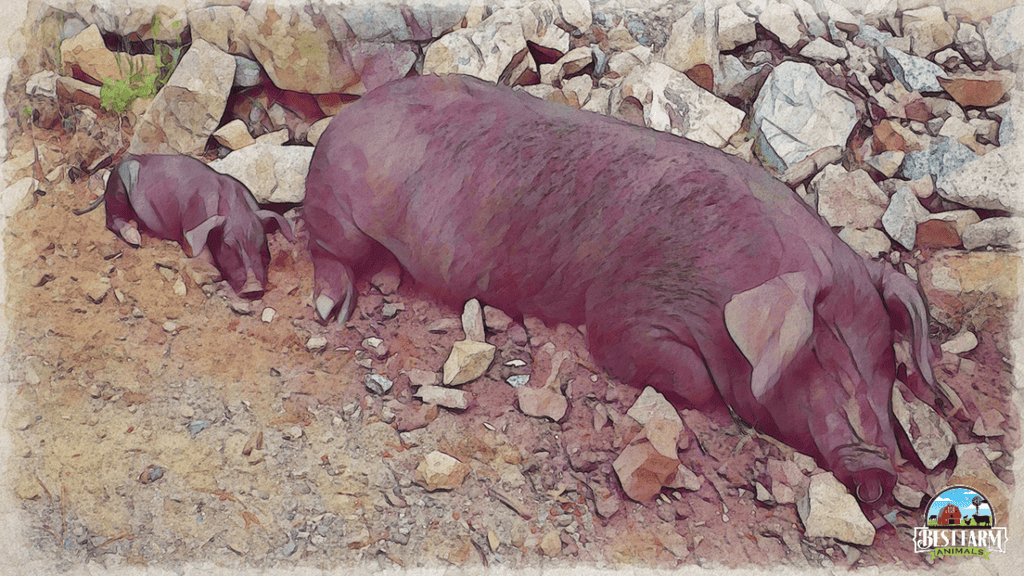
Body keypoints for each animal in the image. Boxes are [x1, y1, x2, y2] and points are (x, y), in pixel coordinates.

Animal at [103, 154, 293, 297]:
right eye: (227, 247)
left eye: (262, 244)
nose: (253, 288)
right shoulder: (190, 230)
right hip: (117, 190)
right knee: (111, 220)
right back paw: (135, 239)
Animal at [303, 74, 940, 507]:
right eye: (825, 358)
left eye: (885, 369)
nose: (883, 475)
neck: (727, 282)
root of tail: (343, 118)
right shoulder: (626, 311)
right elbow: (685, 377)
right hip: (338, 214)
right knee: (323, 248)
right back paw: (335, 310)